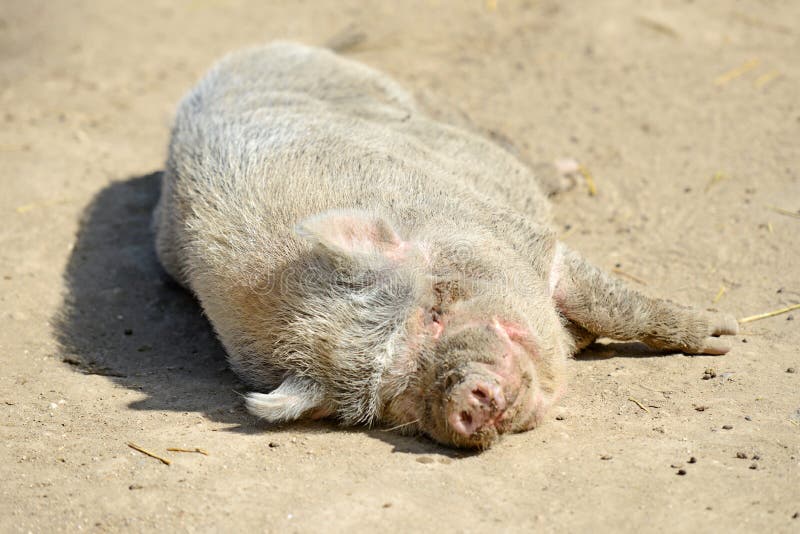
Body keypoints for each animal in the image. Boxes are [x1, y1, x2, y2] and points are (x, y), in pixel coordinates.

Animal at [152, 42, 739, 449]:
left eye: (436, 309)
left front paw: (724, 336)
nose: (463, 398)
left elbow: (617, 307)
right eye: (393, 396)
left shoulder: (526, 239)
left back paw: (568, 173)